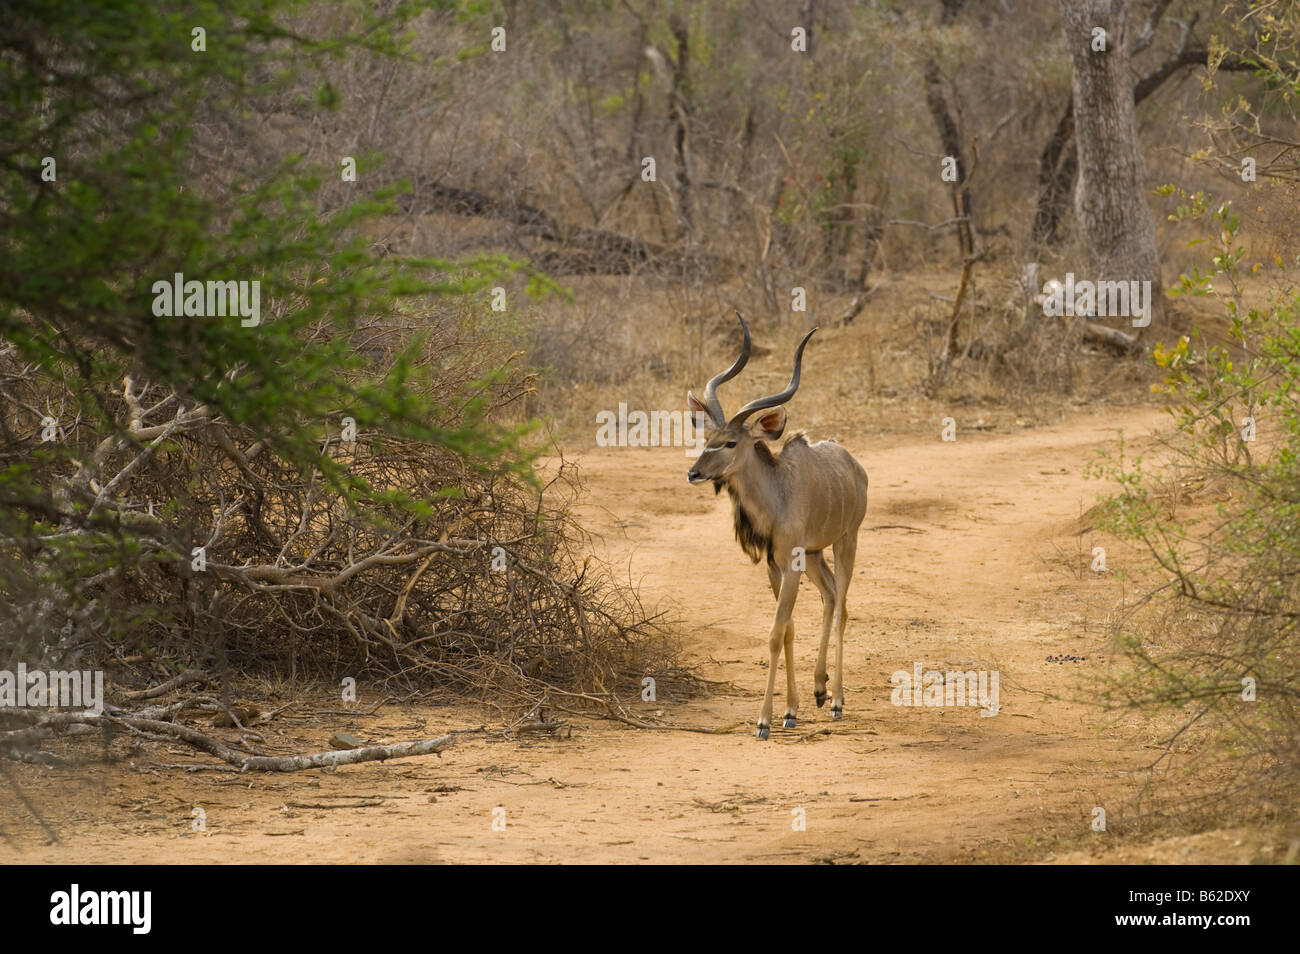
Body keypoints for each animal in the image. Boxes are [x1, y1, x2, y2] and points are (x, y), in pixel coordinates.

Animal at [687, 313, 867, 740]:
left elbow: (773, 633)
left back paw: (836, 700)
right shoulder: (775, 566)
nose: (694, 473)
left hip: (846, 541)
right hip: (815, 556)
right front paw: (790, 710)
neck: (778, 494)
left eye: (731, 442)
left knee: (843, 605)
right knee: (830, 595)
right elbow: (786, 629)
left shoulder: (790, 567)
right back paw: (818, 689)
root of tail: (855, 467)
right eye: (708, 436)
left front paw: (764, 721)